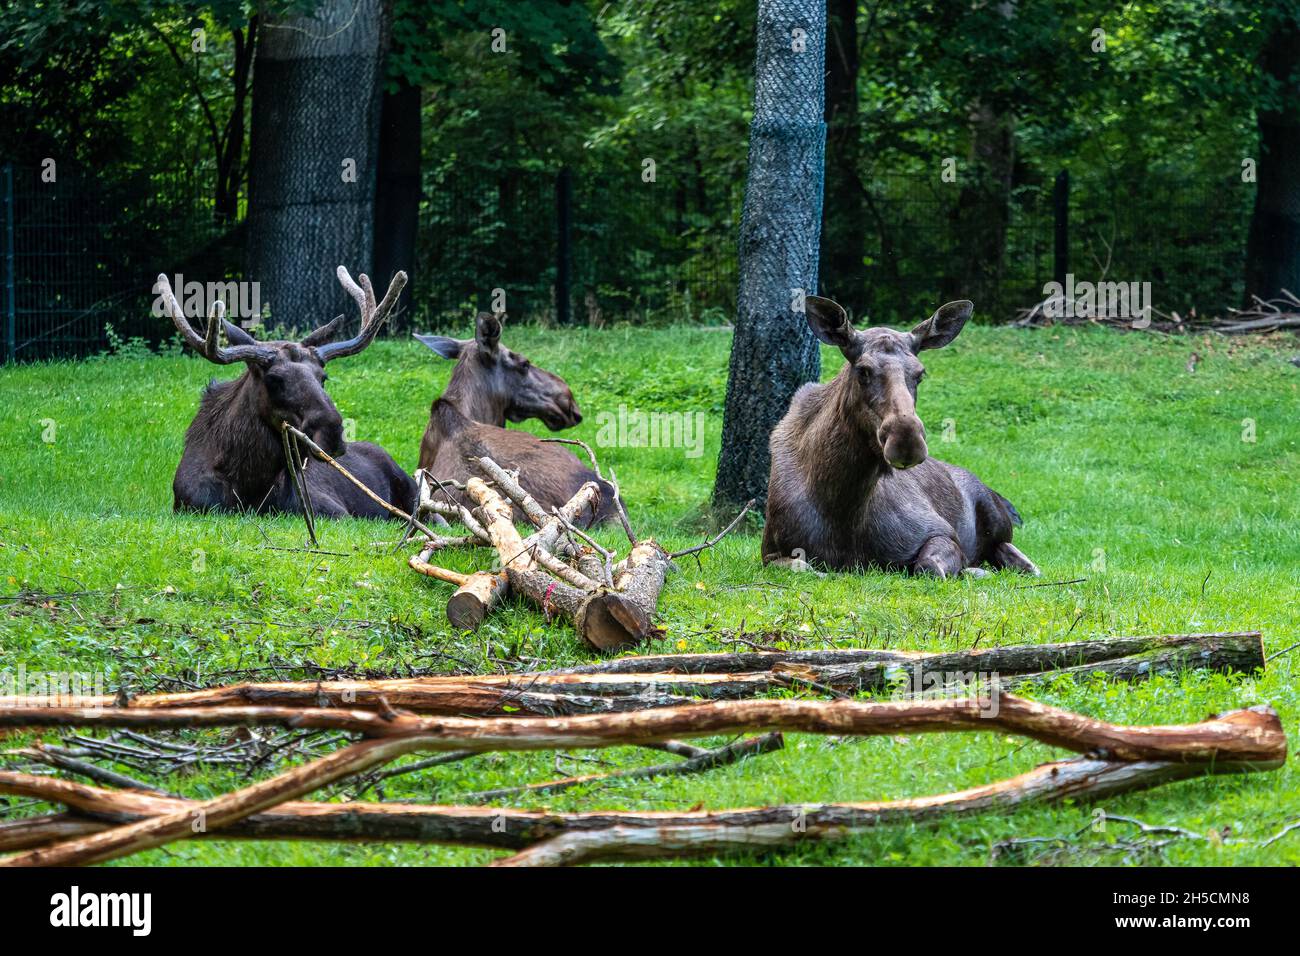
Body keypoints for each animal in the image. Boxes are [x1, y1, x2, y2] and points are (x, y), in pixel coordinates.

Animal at [762, 296, 1039, 578]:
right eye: (863, 370)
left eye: (920, 373)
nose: (906, 441)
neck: (843, 507)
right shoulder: (770, 552)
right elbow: (802, 566)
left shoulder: (941, 532)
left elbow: (929, 566)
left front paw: (967, 569)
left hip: (994, 513)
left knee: (1015, 553)